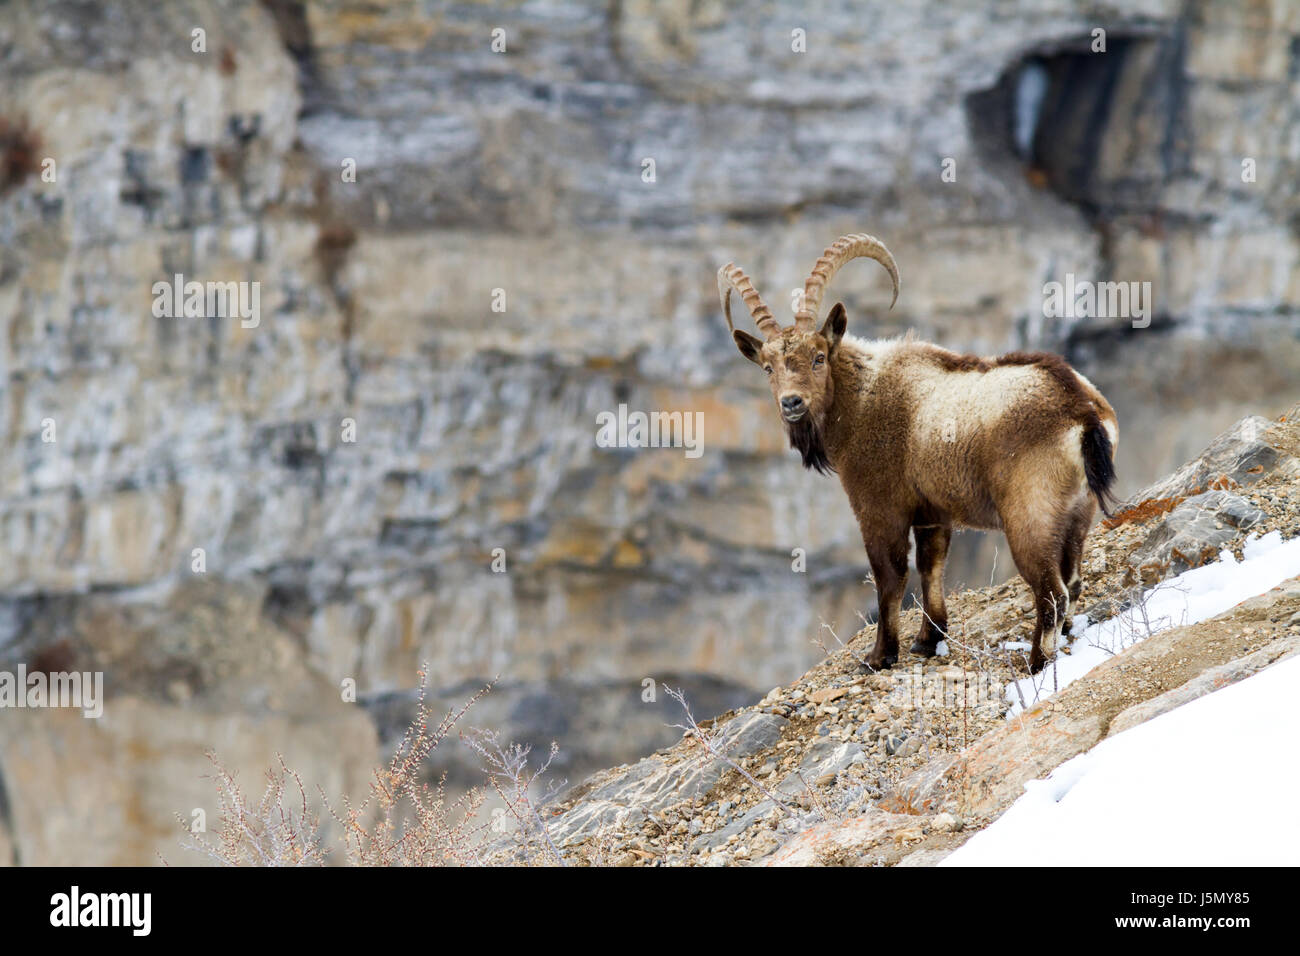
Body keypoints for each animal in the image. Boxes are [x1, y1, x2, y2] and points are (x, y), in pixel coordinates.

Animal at [718, 234, 1119, 673]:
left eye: (818, 357)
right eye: (768, 367)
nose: (791, 403)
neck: (862, 398)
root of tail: (1082, 411)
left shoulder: (879, 507)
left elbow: (890, 577)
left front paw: (880, 655)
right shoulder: (932, 513)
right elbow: (932, 566)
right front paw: (929, 640)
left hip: (1030, 514)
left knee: (1052, 592)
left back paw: (1035, 665)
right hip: (1078, 513)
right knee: (1073, 582)